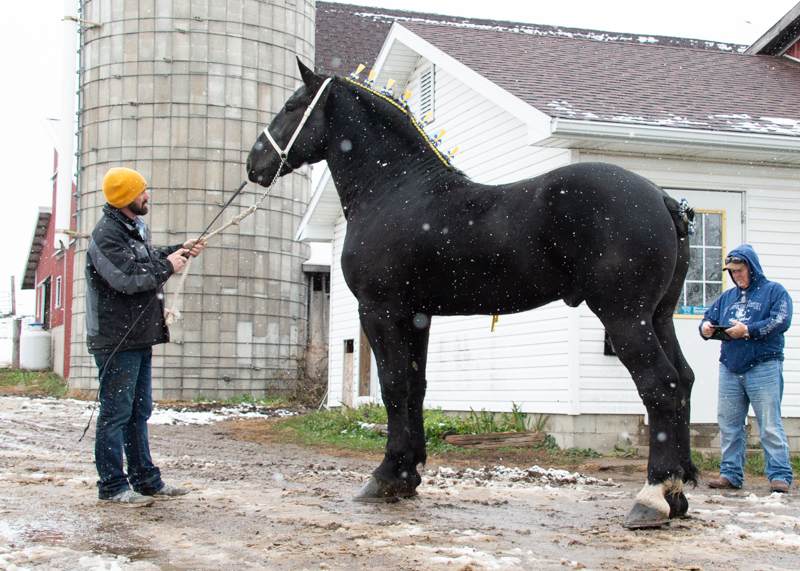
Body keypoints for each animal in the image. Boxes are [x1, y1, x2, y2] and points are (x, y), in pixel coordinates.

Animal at [247, 58, 698, 529]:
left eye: (292, 106)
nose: (253, 162)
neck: (394, 189)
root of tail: (662, 198)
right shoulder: (417, 315)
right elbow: (416, 385)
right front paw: (407, 475)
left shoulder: (381, 311)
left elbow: (393, 385)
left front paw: (385, 476)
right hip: (658, 315)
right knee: (684, 380)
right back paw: (678, 493)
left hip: (624, 315)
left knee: (660, 383)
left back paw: (651, 498)